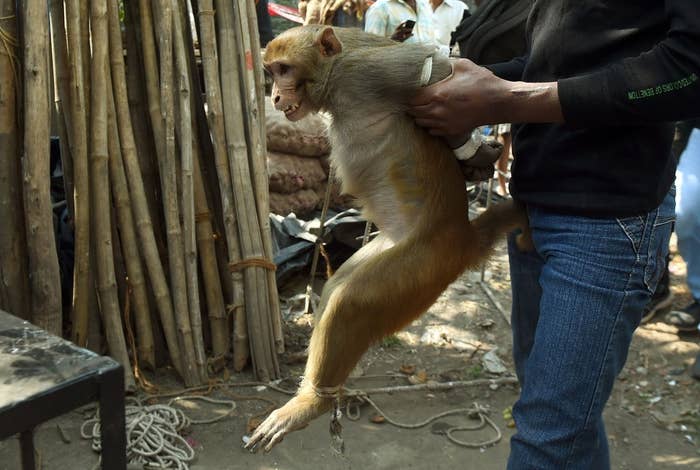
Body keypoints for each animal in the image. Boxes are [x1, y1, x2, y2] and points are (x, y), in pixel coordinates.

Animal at [247, 25, 529, 452]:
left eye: (284, 69)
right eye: (271, 71)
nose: (276, 97)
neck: (335, 81)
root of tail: (463, 236)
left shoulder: (369, 73)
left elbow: (441, 72)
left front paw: (473, 151)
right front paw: (473, 161)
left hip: (423, 266)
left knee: (350, 303)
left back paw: (313, 401)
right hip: (397, 253)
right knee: (337, 289)